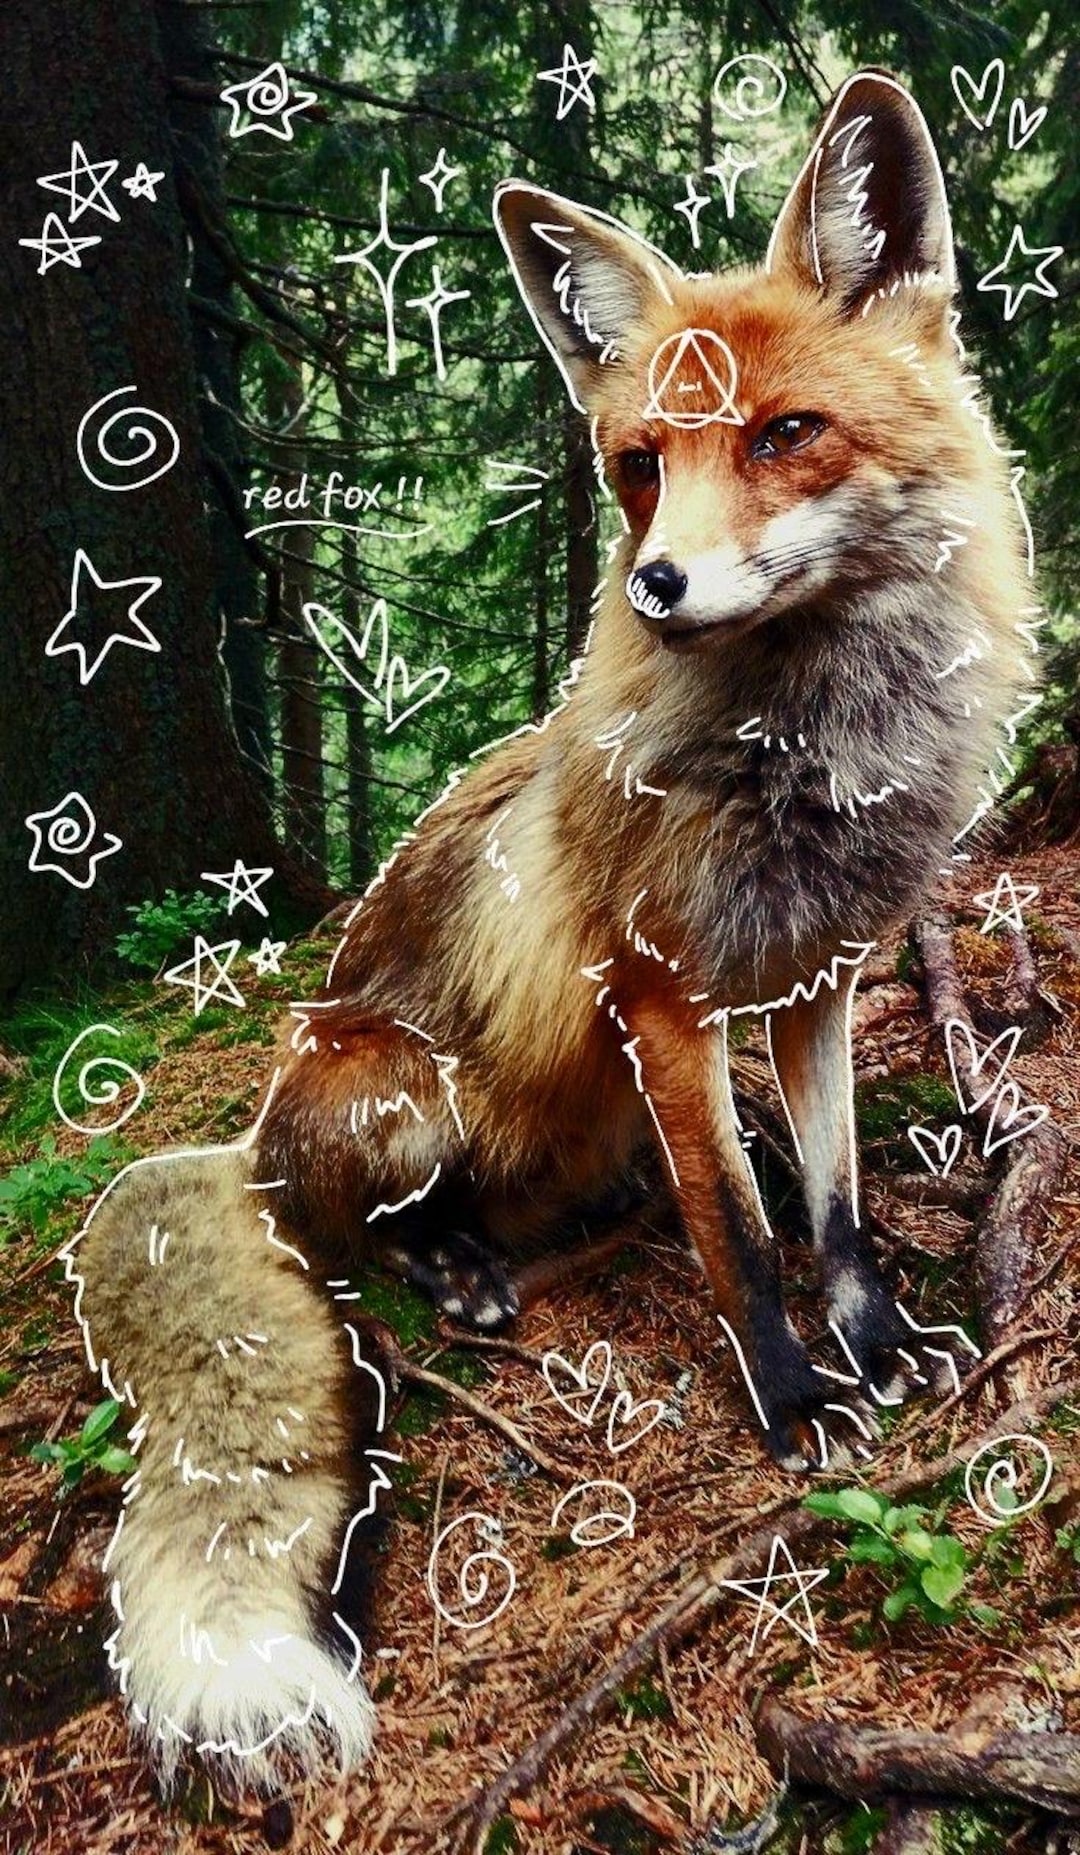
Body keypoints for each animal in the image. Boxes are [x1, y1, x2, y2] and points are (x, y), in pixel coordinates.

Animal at [64, 71, 1031, 1791]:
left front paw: (880, 1337)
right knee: (364, 1230)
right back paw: (455, 1267)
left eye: (787, 434)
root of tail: (237, 1135)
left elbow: (835, 1206)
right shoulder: (659, 993)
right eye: (640, 462)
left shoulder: (818, 976)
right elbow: (740, 1244)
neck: (804, 756)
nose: (656, 584)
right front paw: (794, 1401)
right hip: (405, 1089)